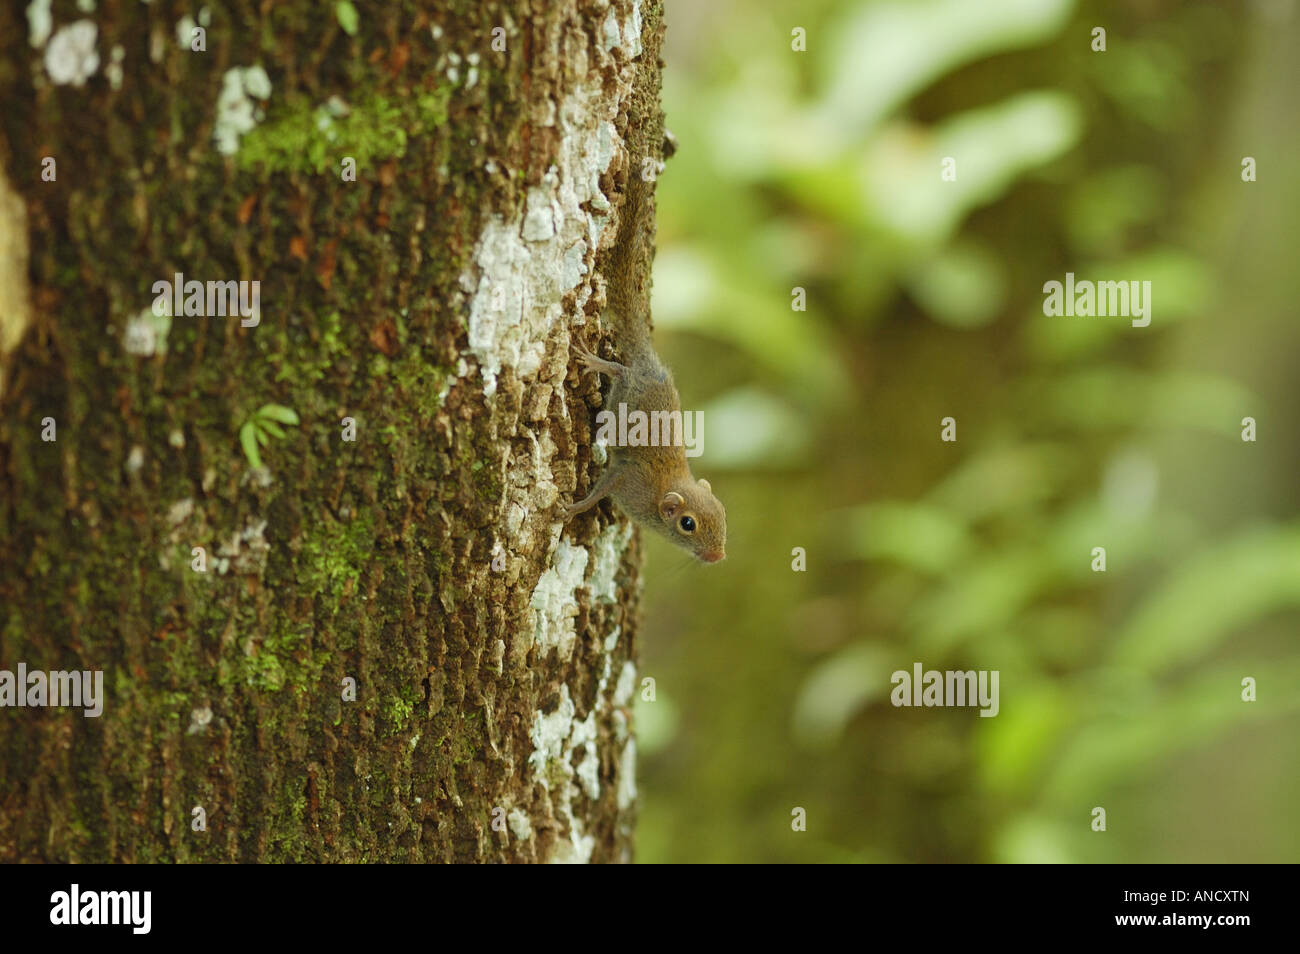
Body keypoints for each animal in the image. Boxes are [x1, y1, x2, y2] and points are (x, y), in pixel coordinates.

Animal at [564, 151, 727, 564]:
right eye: (688, 524)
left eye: (723, 514)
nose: (717, 556)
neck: (657, 500)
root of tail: (651, 366)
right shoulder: (626, 480)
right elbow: (601, 489)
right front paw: (575, 508)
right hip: (626, 386)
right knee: (619, 369)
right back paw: (596, 363)